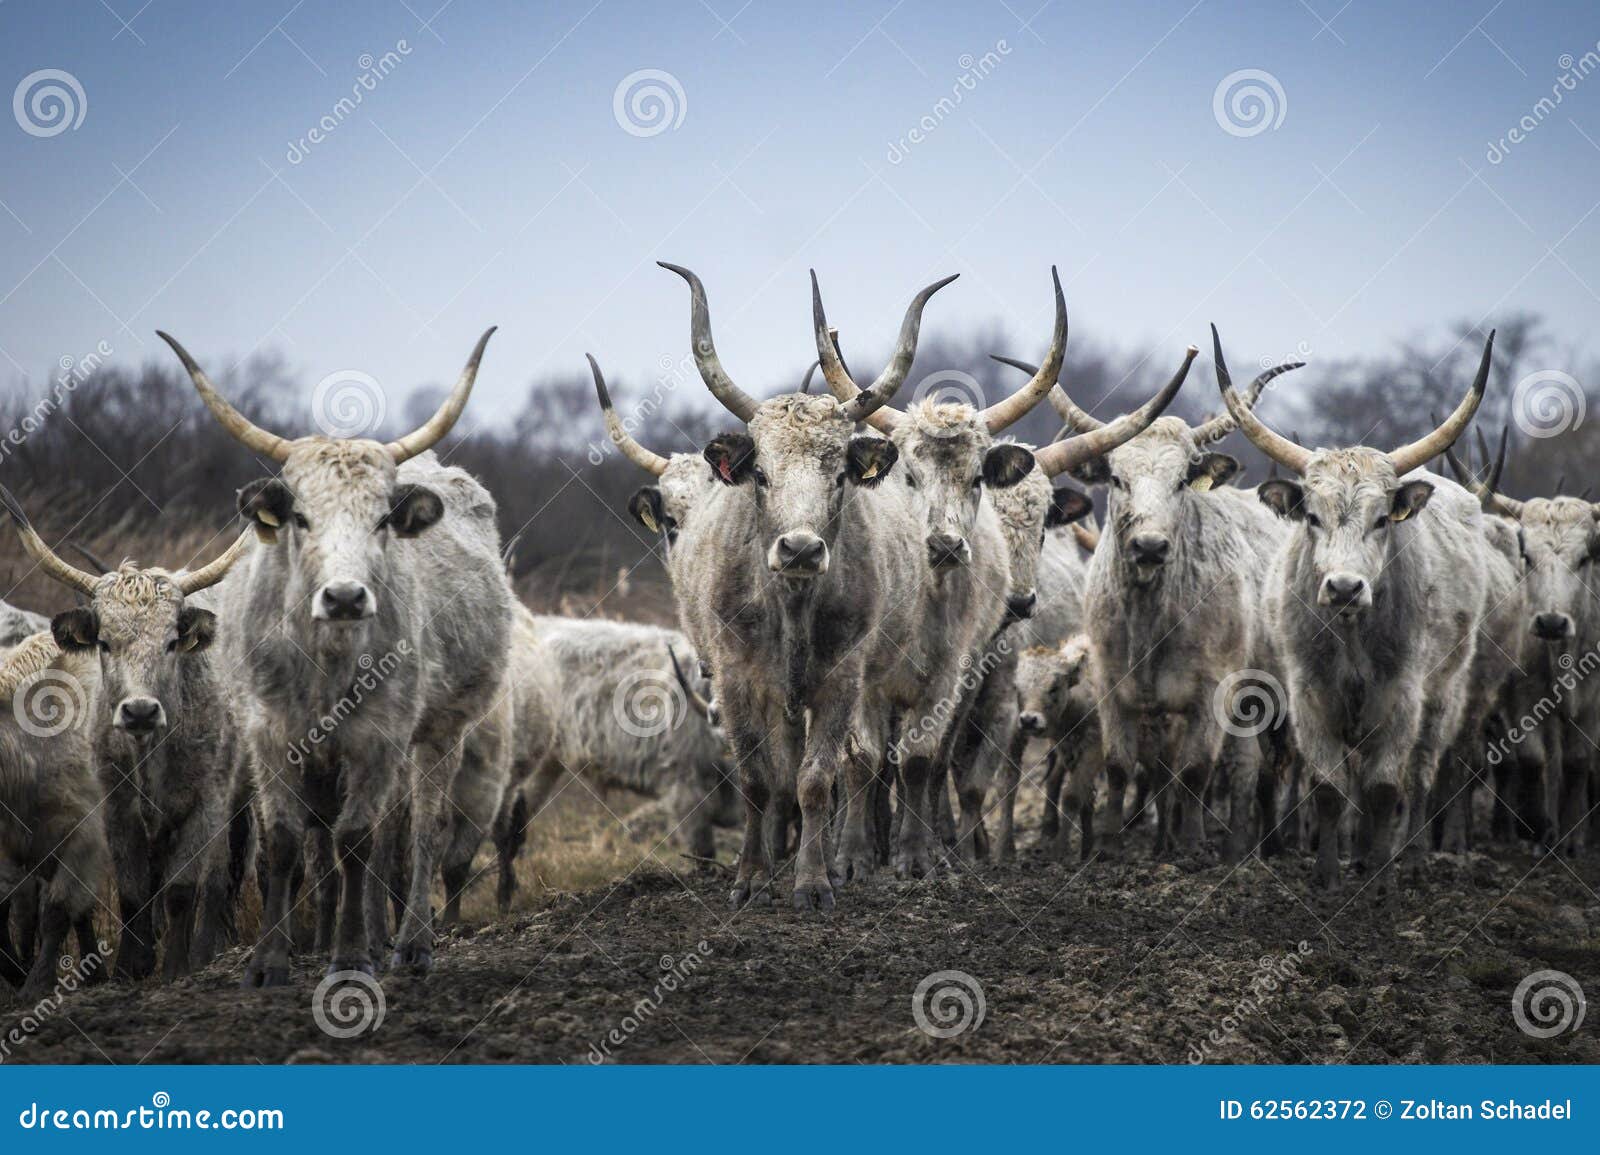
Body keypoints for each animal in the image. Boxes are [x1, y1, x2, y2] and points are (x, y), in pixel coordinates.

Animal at [0, 488, 253, 982]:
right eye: (104, 643)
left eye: (171, 643)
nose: (139, 710)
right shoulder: (115, 809)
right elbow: (134, 890)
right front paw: (130, 968)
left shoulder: (206, 804)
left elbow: (182, 889)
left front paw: (175, 968)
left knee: (220, 876)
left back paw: (206, 951)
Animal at [159, 329, 514, 983]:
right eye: (301, 517)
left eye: (381, 520)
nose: (346, 596)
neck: (326, 661)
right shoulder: (270, 733)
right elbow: (285, 840)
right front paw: (270, 961)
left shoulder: (379, 736)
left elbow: (357, 840)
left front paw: (350, 956)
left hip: (439, 733)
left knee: (417, 830)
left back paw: (409, 942)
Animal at [1220, 326, 1494, 889]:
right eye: (1312, 517)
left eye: (1382, 519)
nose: (1345, 587)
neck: (1350, 634)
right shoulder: (1309, 696)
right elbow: (1328, 789)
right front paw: (1327, 875)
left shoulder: (1401, 696)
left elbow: (1386, 788)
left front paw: (1381, 879)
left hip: (1443, 694)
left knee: (1420, 774)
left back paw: (1407, 856)